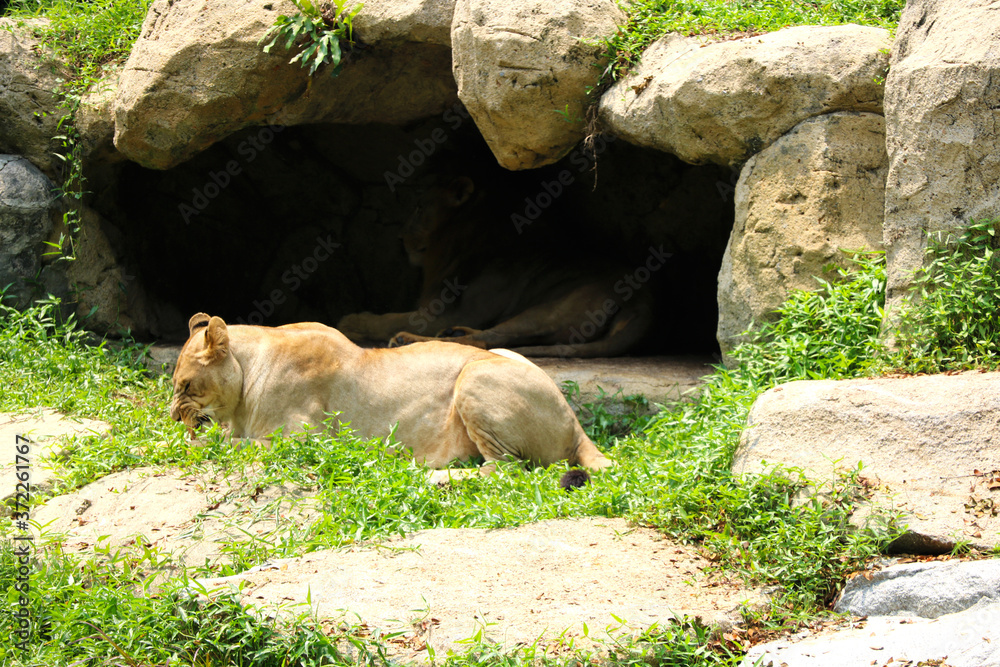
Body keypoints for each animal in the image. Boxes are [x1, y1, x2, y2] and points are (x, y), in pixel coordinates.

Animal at [169, 313, 612, 486]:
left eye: (186, 386)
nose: (173, 417)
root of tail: (576, 425)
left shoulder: (304, 439)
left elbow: (233, 443)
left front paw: (195, 441)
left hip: (476, 375)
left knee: (504, 470)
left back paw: (430, 476)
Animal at [336, 177, 654, 357]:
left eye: (419, 207)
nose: (400, 239)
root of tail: (645, 304)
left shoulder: (452, 310)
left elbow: (389, 318)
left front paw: (351, 321)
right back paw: (452, 333)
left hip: (545, 310)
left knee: (488, 339)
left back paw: (408, 340)